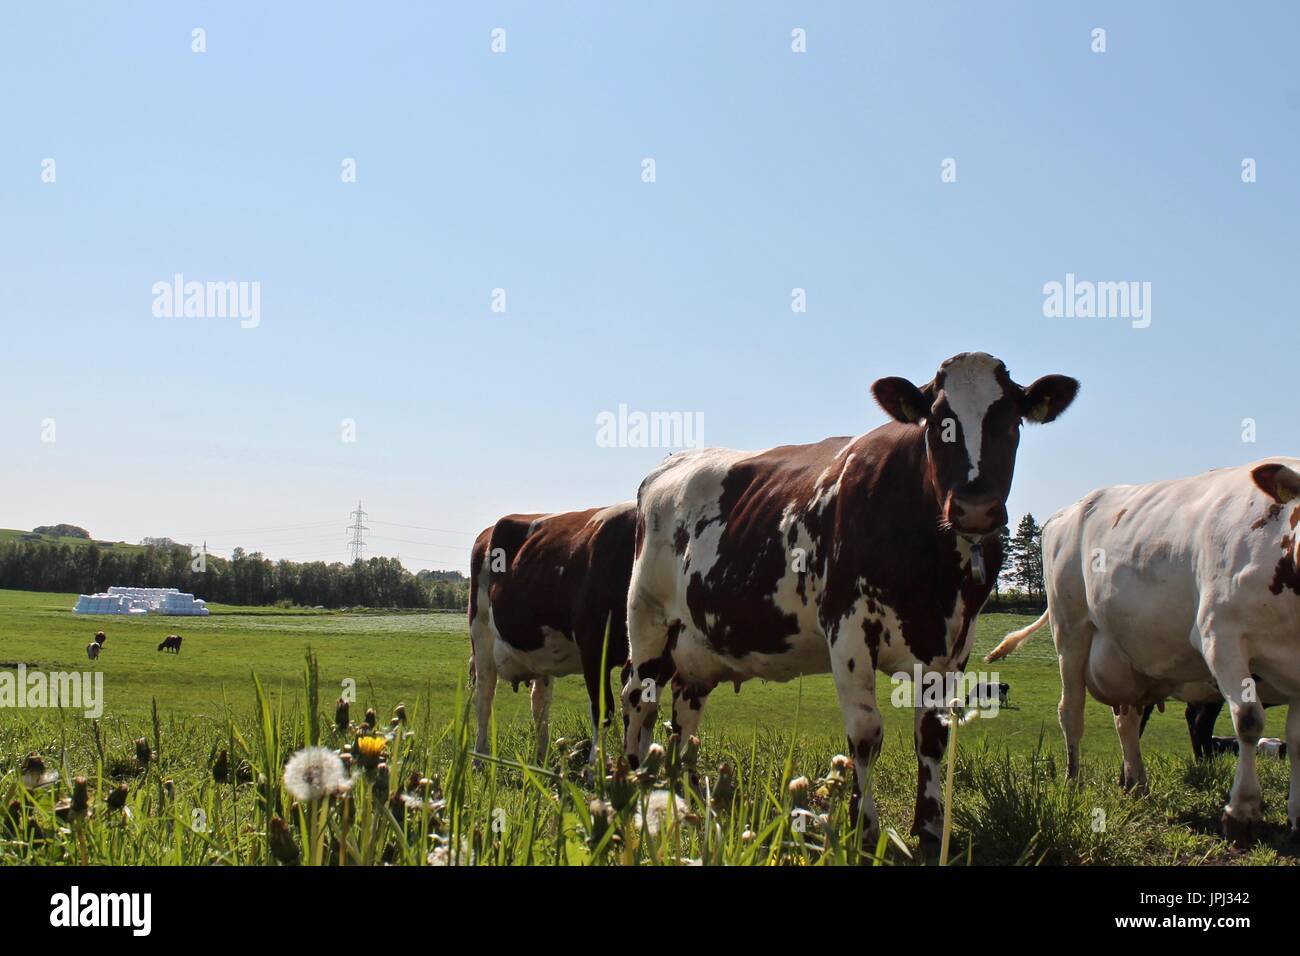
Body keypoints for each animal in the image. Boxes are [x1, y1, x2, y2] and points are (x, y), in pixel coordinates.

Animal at [469, 503, 636, 765]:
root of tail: (486, 532)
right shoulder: (593, 647)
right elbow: (602, 709)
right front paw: (595, 766)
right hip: (481, 634)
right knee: (484, 697)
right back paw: (479, 759)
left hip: (540, 652)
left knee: (539, 702)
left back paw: (542, 757)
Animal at [620, 352, 1079, 852]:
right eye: (938, 421)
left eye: (1011, 421)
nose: (975, 508)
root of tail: (670, 465)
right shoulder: (849, 626)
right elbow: (866, 735)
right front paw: (864, 827)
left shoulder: (956, 642)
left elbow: (932, 736)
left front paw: (931, 827)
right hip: (648, 617)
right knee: (638, 697)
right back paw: (634, 781)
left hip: (696, 643)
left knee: (685, 712)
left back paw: (683, 787)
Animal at [986, 459, 1300, 844]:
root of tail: (1069, 510)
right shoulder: (1220, 636)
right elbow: (1248, 720)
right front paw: (1241, 812)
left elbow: (1297, 739)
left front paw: (1297, 817)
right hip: (1070, 627)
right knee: (1071, 710)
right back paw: (1074, 782)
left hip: (1130, 656)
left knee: (1128, 720)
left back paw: (1136, 783)